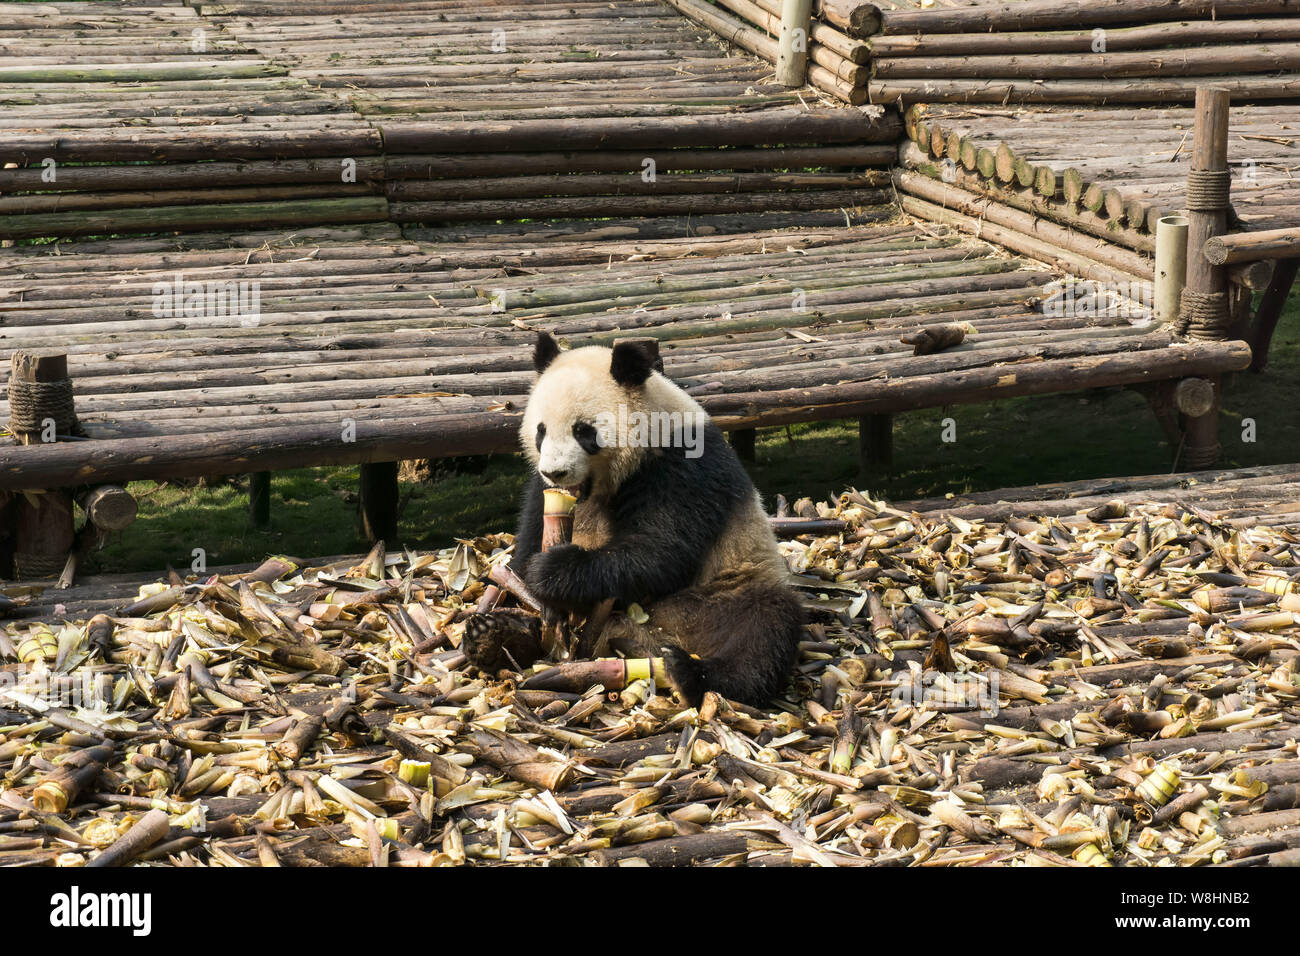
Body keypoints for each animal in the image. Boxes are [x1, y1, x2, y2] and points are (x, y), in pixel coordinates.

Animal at [462, 332, 804, 707]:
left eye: (584, 431)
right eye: (541, 431)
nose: (556, 471)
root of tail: (652, 639)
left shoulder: (681, 465)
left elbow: (659, 552)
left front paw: (552, 572)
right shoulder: (542, 491)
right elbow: (524, 551)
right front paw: (539, 591)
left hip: (728, 590)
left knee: (761, 631)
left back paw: (691, 673)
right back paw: (494, 635)